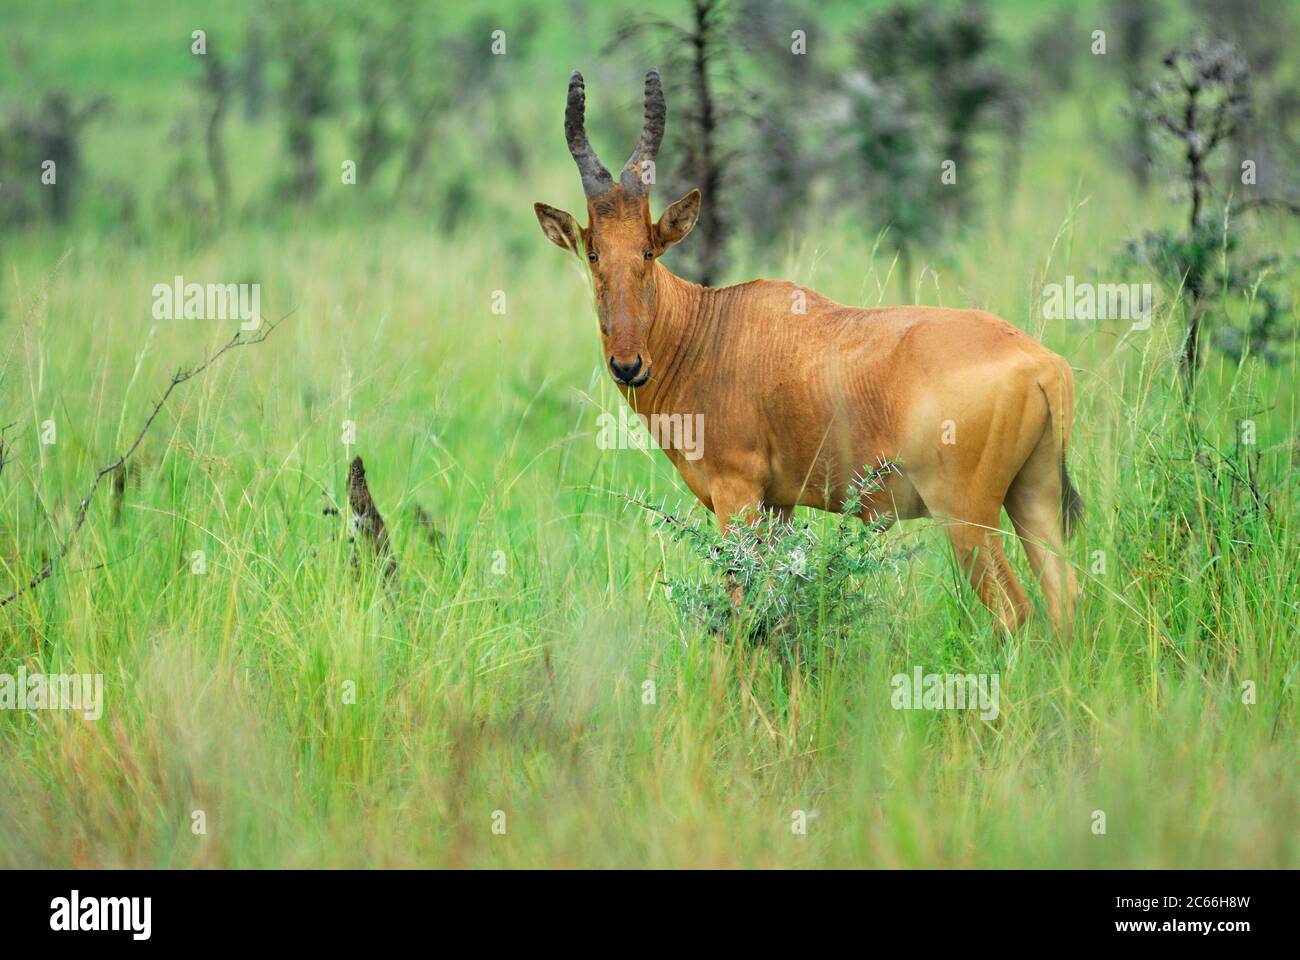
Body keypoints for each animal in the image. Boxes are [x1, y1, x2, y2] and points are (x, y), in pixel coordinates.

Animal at [534, 70, 1082, 634]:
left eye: (647, 249)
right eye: (593, 252)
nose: (628, 366)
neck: (710, 328)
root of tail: (1044, 365)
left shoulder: (738, 495)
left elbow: (742, 607)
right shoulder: (779, 504)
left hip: (966, 515)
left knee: (1015, 610)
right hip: (1033, 497)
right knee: (1065, 600)